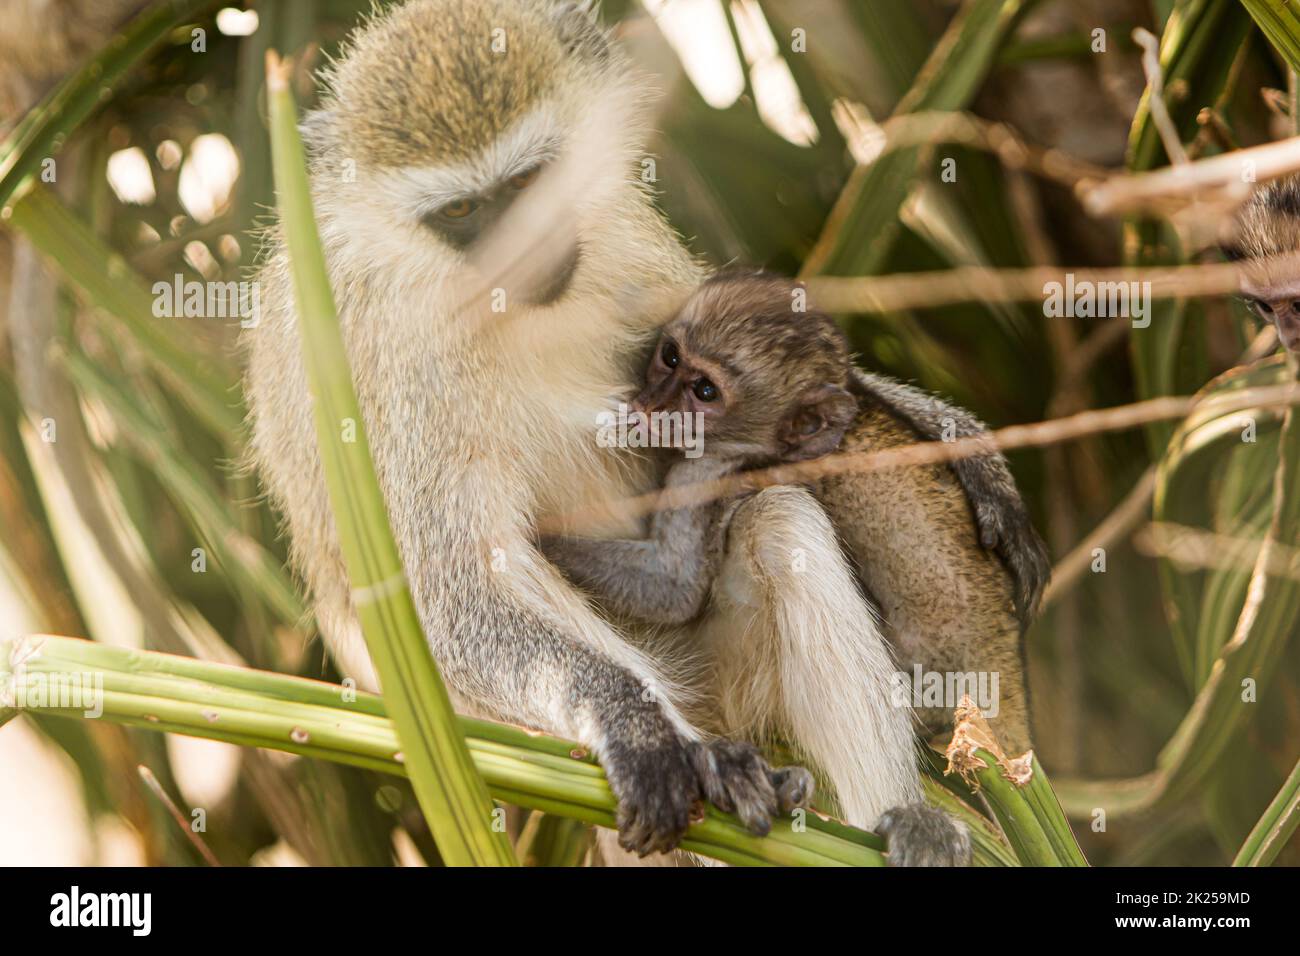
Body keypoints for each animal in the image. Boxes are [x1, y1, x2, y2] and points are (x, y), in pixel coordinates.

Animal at [243, 0, 1047, 864]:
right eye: (460, 212)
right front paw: (639, 731)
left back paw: (900, 818)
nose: (522, 248)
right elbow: (450, 601)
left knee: (778, 520)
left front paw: (954, 435)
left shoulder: (625, 237)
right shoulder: (377, 357)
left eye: (528, 183)